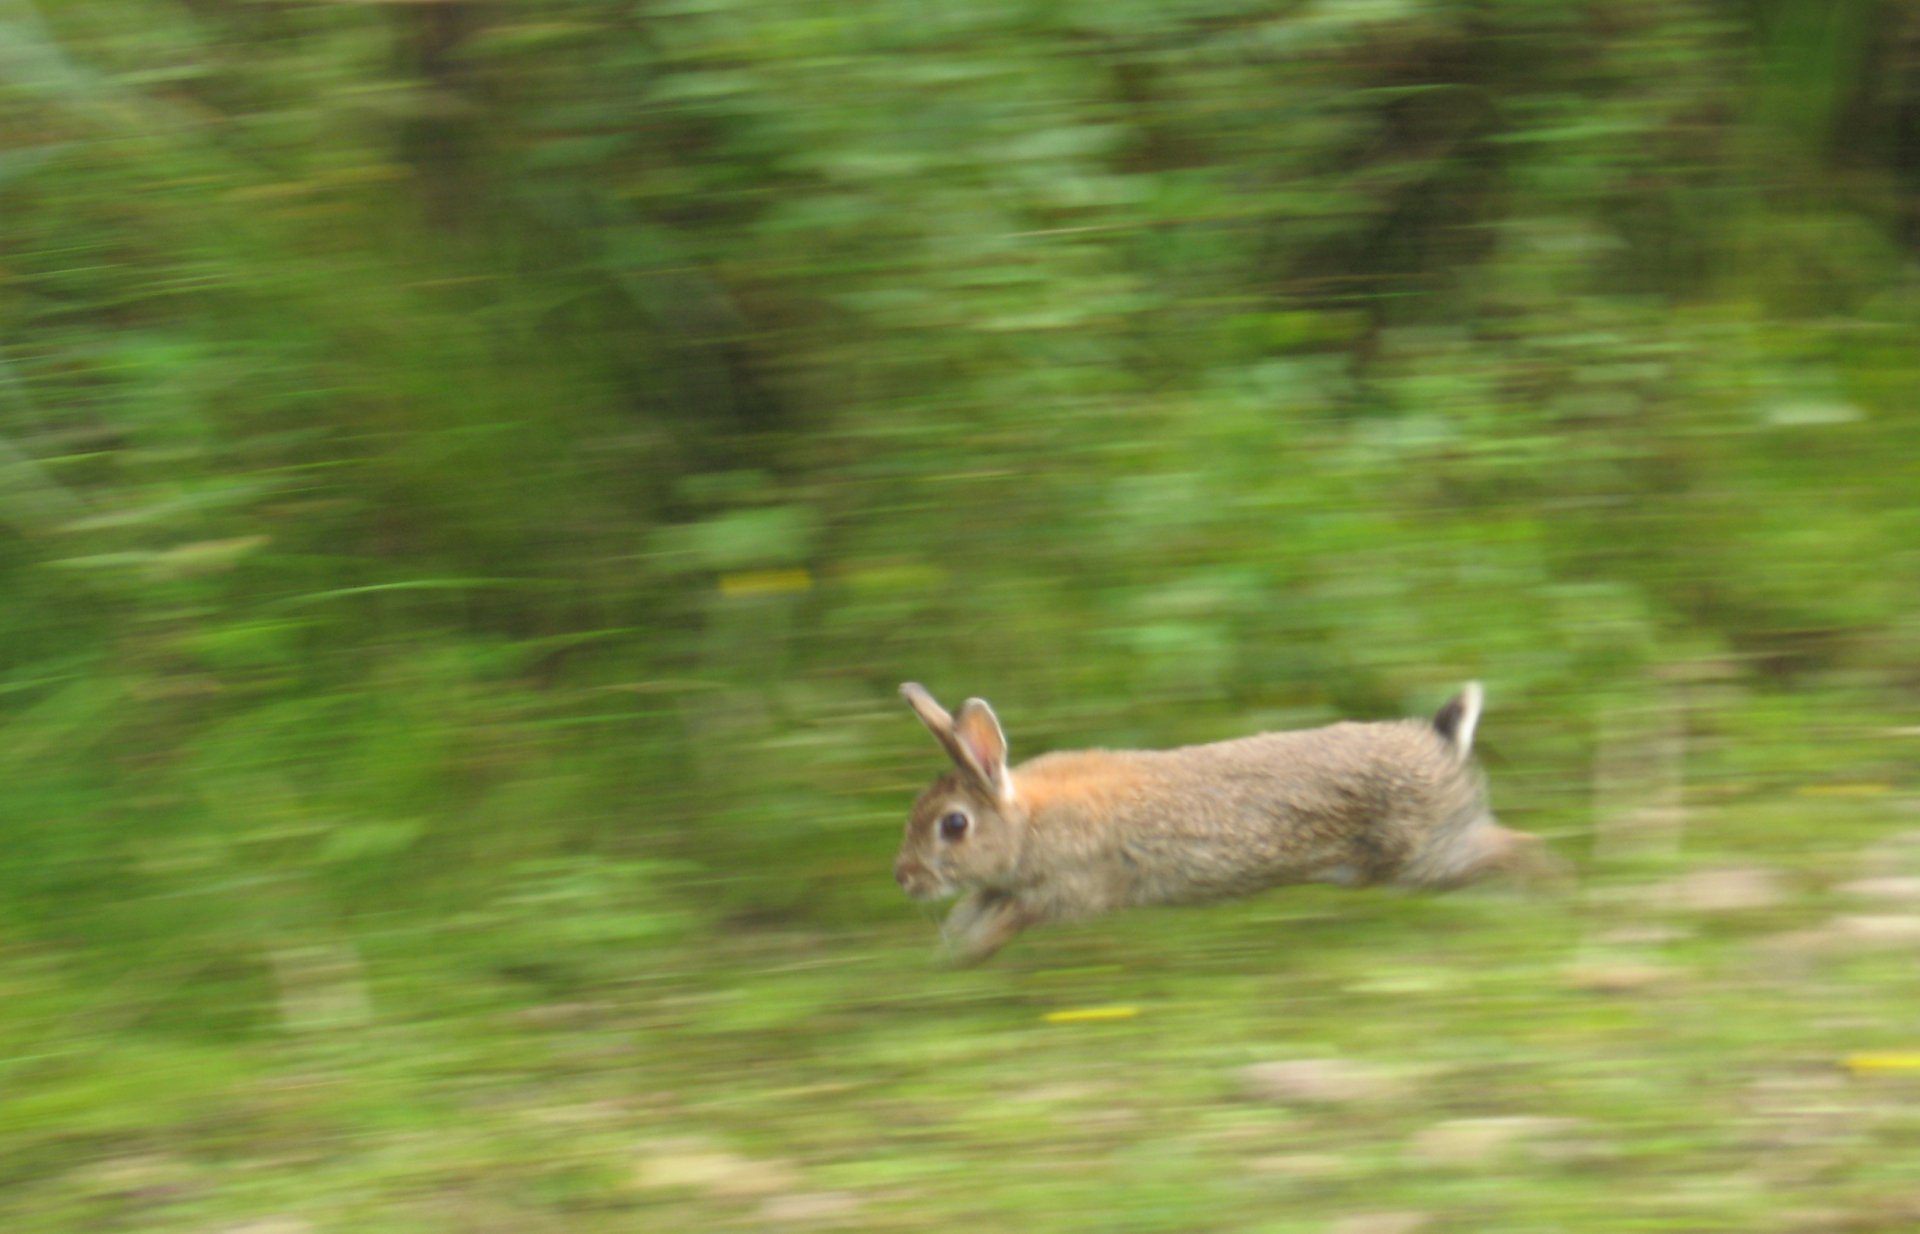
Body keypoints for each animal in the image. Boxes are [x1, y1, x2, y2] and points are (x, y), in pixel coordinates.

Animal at [893, 681, 1559, 963]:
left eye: (954, 825)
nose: (904, 878)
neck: (1025, 820)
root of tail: (1444, 743)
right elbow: (976, 908)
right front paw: (950, 949)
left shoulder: (1071, 888)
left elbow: (1011, 914)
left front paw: (967, 952)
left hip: (1423, 856)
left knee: (1522, 848)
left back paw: (1544, 902)